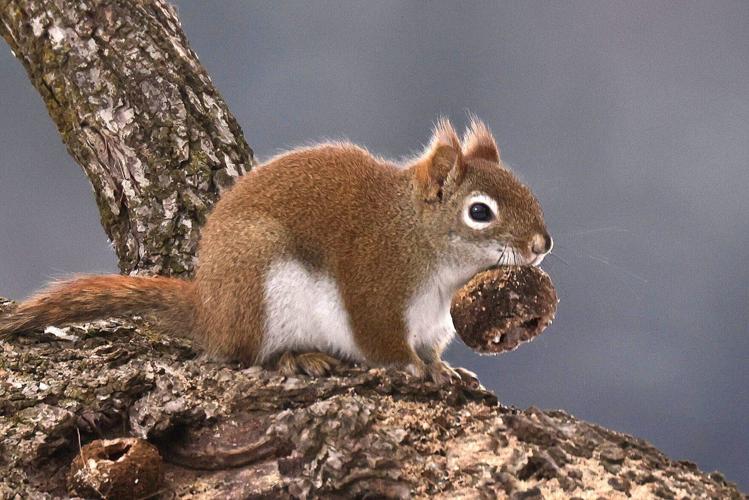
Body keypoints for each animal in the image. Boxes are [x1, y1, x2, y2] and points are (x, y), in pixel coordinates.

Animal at [0, 117, 552, 385]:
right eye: (479, 212)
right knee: (249, 355)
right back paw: (298, 359)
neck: (417, 236)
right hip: (262, 289)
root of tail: (208, 309)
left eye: (525, 188)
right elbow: (380, 341)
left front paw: (440, 367)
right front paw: (411, 368)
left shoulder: (433, 320)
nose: (542, 245)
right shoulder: (375, 285)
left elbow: (432, 347)